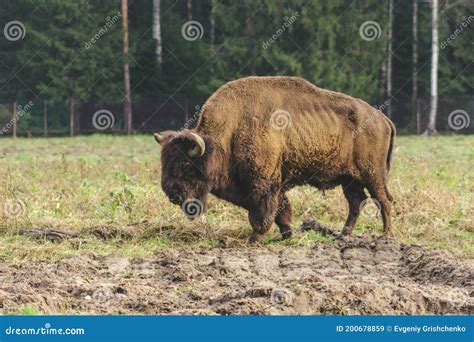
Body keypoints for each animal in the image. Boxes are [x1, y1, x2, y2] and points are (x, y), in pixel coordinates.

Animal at [156, 77, 396, 243]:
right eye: (164, 164)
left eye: (186, 167)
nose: (173, 195)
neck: (229, 132)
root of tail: (382, 118)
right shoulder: (274, 184)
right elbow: (282, 210)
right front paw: (287, 235)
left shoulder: (263, 183)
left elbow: (262, 212)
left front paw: (253, 239)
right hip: (349, 179)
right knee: (356, 203)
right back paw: (342, 236)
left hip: (372, 174)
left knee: (383, 200)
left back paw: (385, 236)